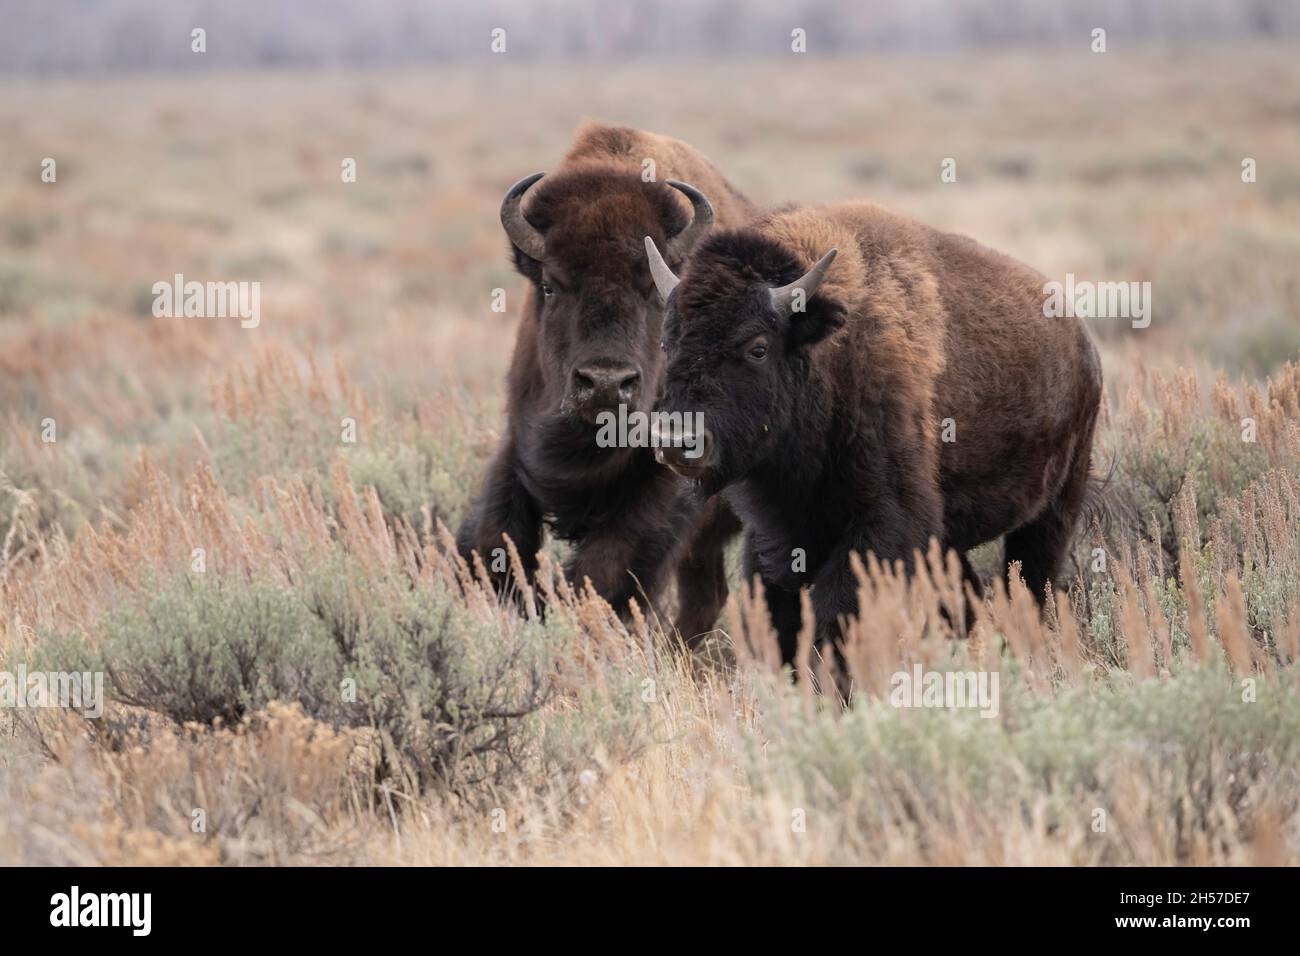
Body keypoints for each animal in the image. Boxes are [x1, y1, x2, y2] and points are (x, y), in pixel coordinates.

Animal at [458, 123, 754, 638]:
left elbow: (605, 568)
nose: (605, 383)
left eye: (656, 290)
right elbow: (492, 539)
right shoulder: (516, 445)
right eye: (550, 285)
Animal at [645, 202, 1103, 662]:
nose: (674, 441)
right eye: (667, 343)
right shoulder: (776, 531)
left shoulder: (881, 524)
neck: (830, 356)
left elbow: (834, 611)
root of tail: (1083, 343)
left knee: (1030, 584)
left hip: (1053, 510)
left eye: (757, 348)